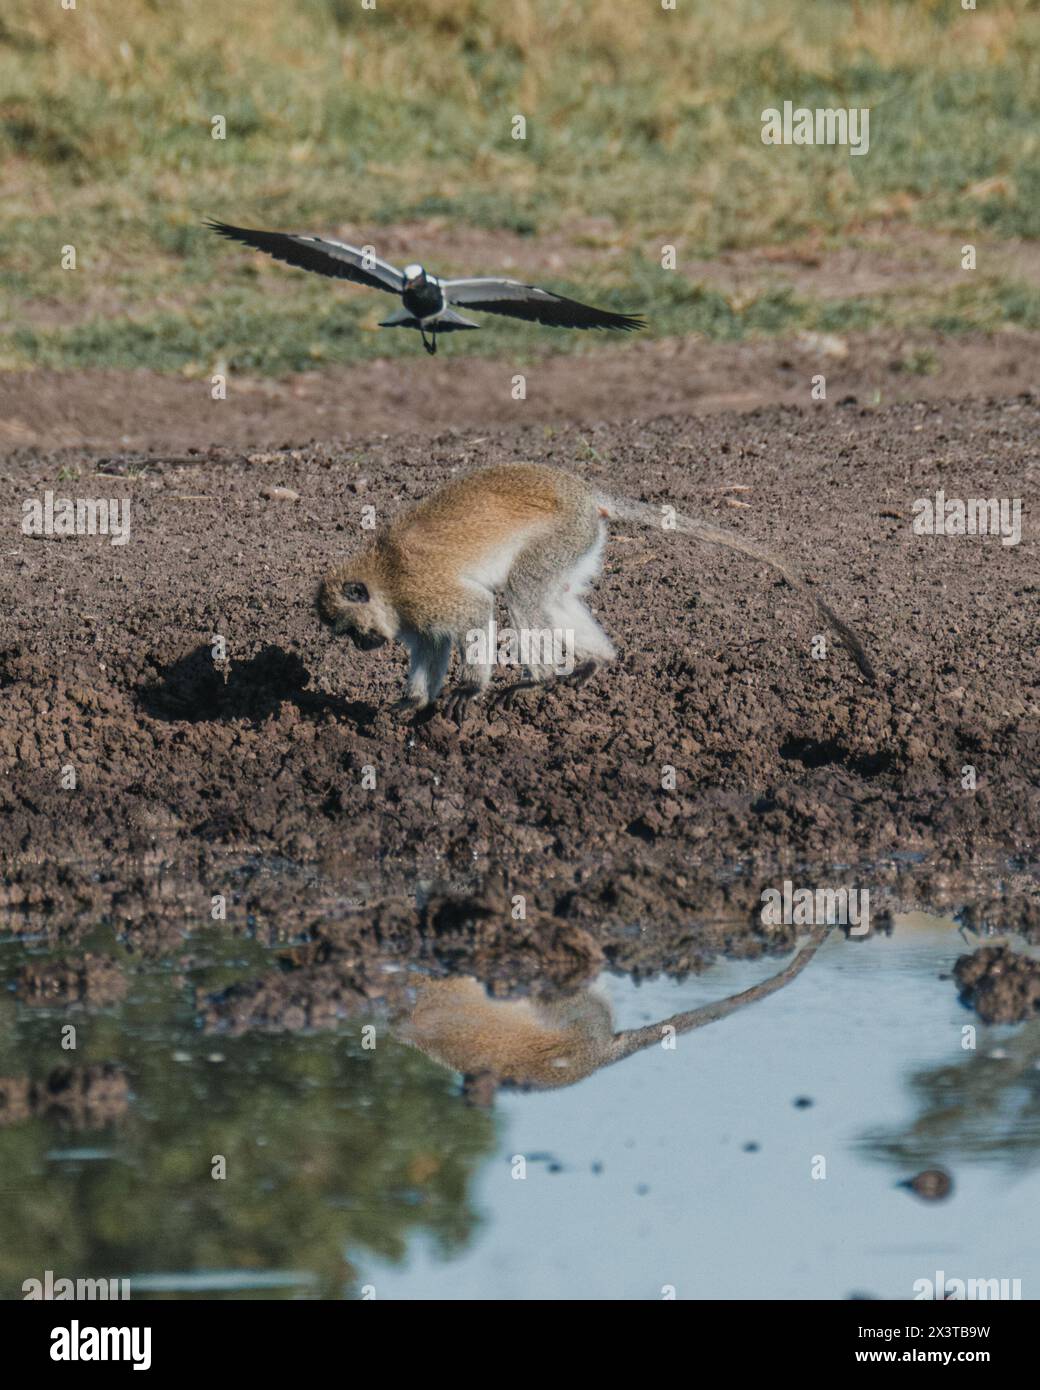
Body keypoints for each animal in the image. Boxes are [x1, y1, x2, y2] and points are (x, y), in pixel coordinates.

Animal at [315, 463, 876, 724]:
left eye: (346, 627)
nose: (361, 644)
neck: (384, 576)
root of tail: (584, 492)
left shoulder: (424, 592)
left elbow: (478, 610)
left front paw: (470, 690)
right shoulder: (414, 616)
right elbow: (432, 647)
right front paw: (410, 701)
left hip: (563, 531)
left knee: (522, 594)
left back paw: (538, 682)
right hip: (580, 540)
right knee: (552, 596)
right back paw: (595, 662)